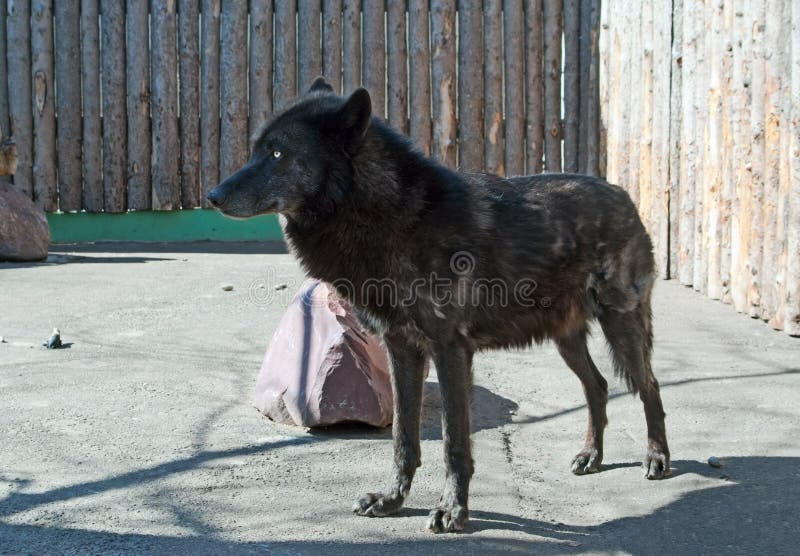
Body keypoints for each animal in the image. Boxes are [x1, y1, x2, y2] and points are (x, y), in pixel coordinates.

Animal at [207, 77, 671, 533]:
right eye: (256, 149)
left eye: (277, 153)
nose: (213, 195)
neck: (389, 216)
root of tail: (622, 193)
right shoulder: (401, 350)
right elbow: (403, 437)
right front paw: (392, 499)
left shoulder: (450, 351)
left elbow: (453, 442)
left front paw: (453, 510)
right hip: (566, 339)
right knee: (598, 386)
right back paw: (592, 456)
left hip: (621, 328)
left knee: (648, 385)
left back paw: (656, 457)